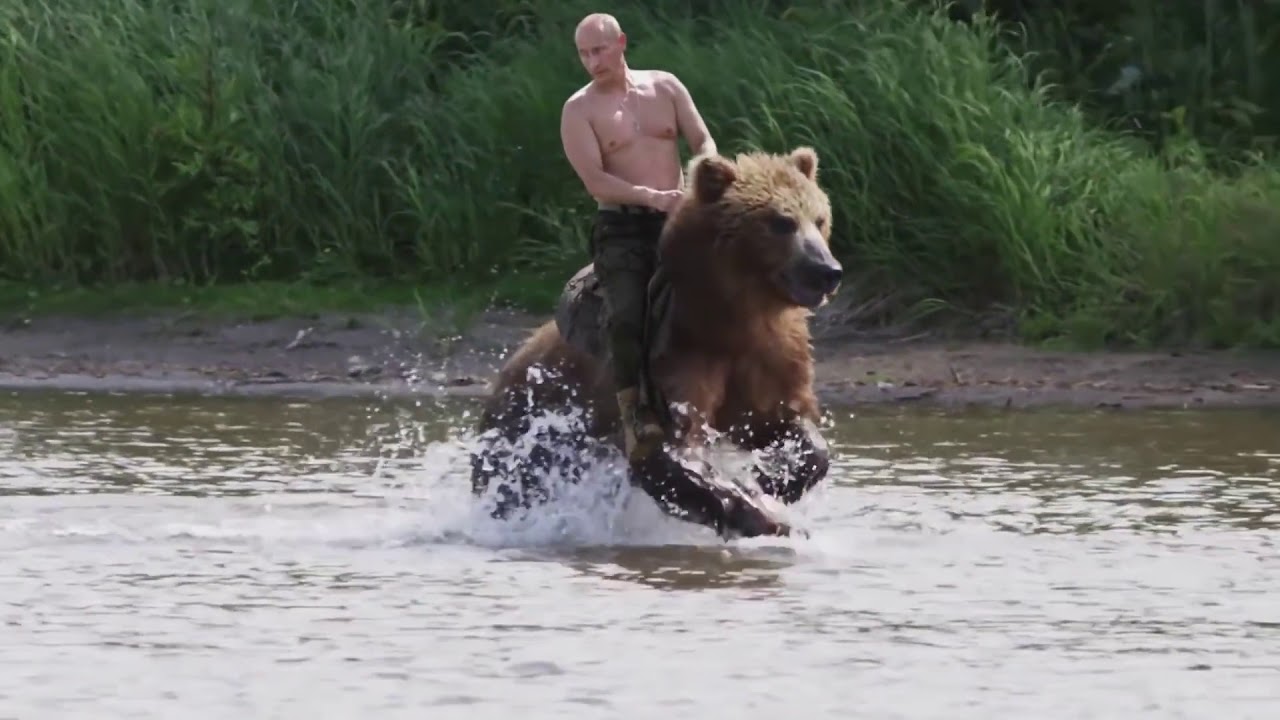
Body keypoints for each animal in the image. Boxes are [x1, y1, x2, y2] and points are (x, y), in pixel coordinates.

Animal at [469, 145, 843, 539]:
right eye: (781, 222)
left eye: (819, 218)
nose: (827, 271)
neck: (733, 313)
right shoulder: (672, 348)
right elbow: (668, 443)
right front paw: (764, 513)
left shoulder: (767, 354)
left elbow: (781, 421)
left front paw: (771, 477)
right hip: (528, 423)